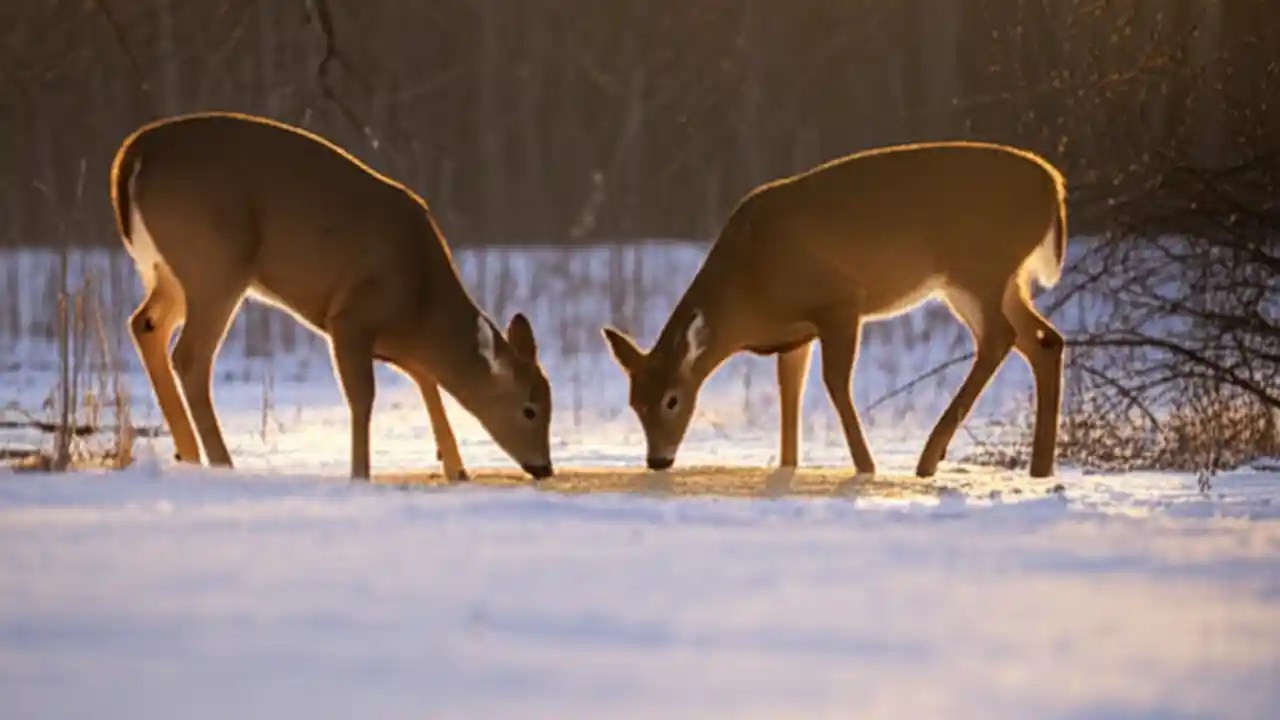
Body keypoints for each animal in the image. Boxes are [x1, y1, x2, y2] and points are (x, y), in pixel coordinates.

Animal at [110, 112, 553, 481]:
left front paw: (456, 468)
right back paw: (221, 462)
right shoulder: (351, 316)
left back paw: (189, 455)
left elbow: (426, 381)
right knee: (190, 356)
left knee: (145, 324)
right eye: (529, 409)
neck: (420, 301)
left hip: (170, 271)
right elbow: (364, 397)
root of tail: (134, 154)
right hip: (214, 263)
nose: (544, 467)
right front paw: (360, 474)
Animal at [603, 141, 1067, 478]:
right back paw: (1040, 468)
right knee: (1045, 341)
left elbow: (835, 383)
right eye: (634, 403)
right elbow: (790, 390)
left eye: (672, 400)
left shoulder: (840, 302)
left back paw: (928, 459)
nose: (657, 461)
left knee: (1000, 338)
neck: (750, 286)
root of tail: (1055, 185)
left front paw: (866, 466)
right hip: (995, 281)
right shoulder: (795, 332)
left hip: (978, 270)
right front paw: (789, 465)